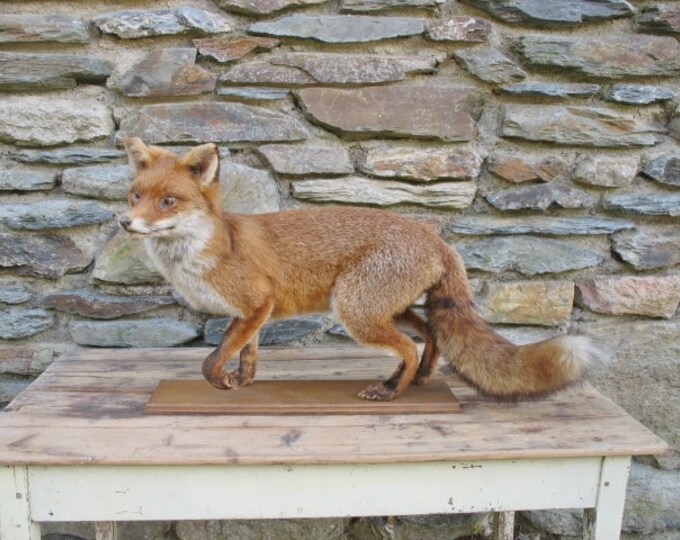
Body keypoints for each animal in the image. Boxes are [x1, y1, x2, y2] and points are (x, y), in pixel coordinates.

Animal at [119, 137, 603, 401]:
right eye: (135, 196)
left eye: (168, 201)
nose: (125, 222)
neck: (209, 249)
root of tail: (436, 238)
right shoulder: (252, 315)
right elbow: (246, 353)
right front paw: (243, 382)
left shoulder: (257, 302)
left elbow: (211, 359)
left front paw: (221, 383)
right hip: (385, 308)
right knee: (428, 337)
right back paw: (415, 379)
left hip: (355, 310)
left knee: (409, 346)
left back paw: (391, 391)